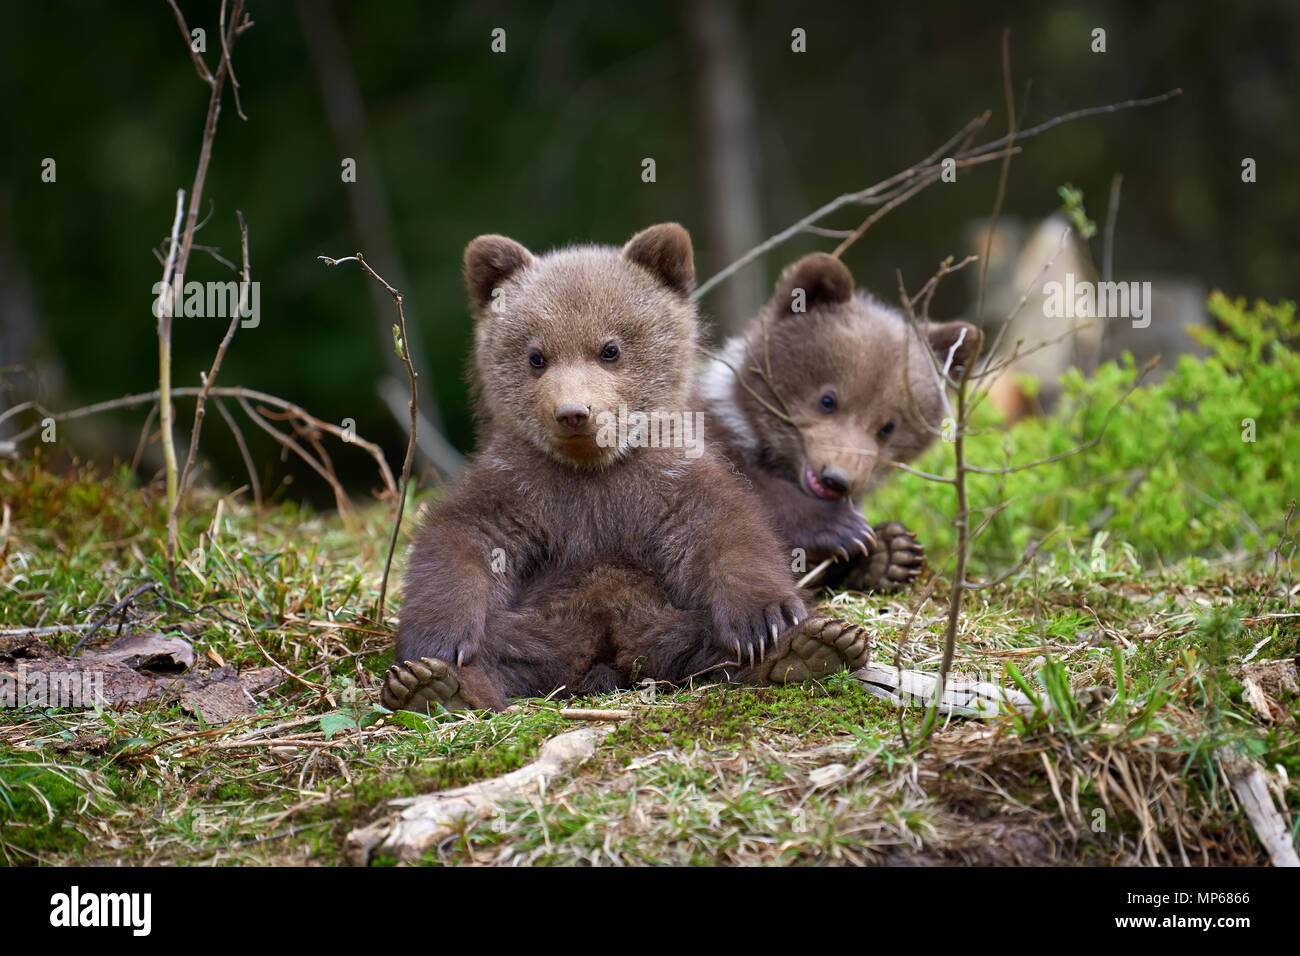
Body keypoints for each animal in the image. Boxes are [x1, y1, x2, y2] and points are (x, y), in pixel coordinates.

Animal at [381, 225, 871, 714]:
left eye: (610, 349)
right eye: (536, 356)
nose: (573, 412)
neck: (594, 468)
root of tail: (608, 654)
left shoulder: (667, 483)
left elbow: (725, 532)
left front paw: (766, 618)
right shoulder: (519, 486)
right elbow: (462, 538)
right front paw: (437, 642)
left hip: (668, 615)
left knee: (707, 642)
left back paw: (809, 649)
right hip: (542, 620)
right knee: (501, 647)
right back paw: (436, 685)